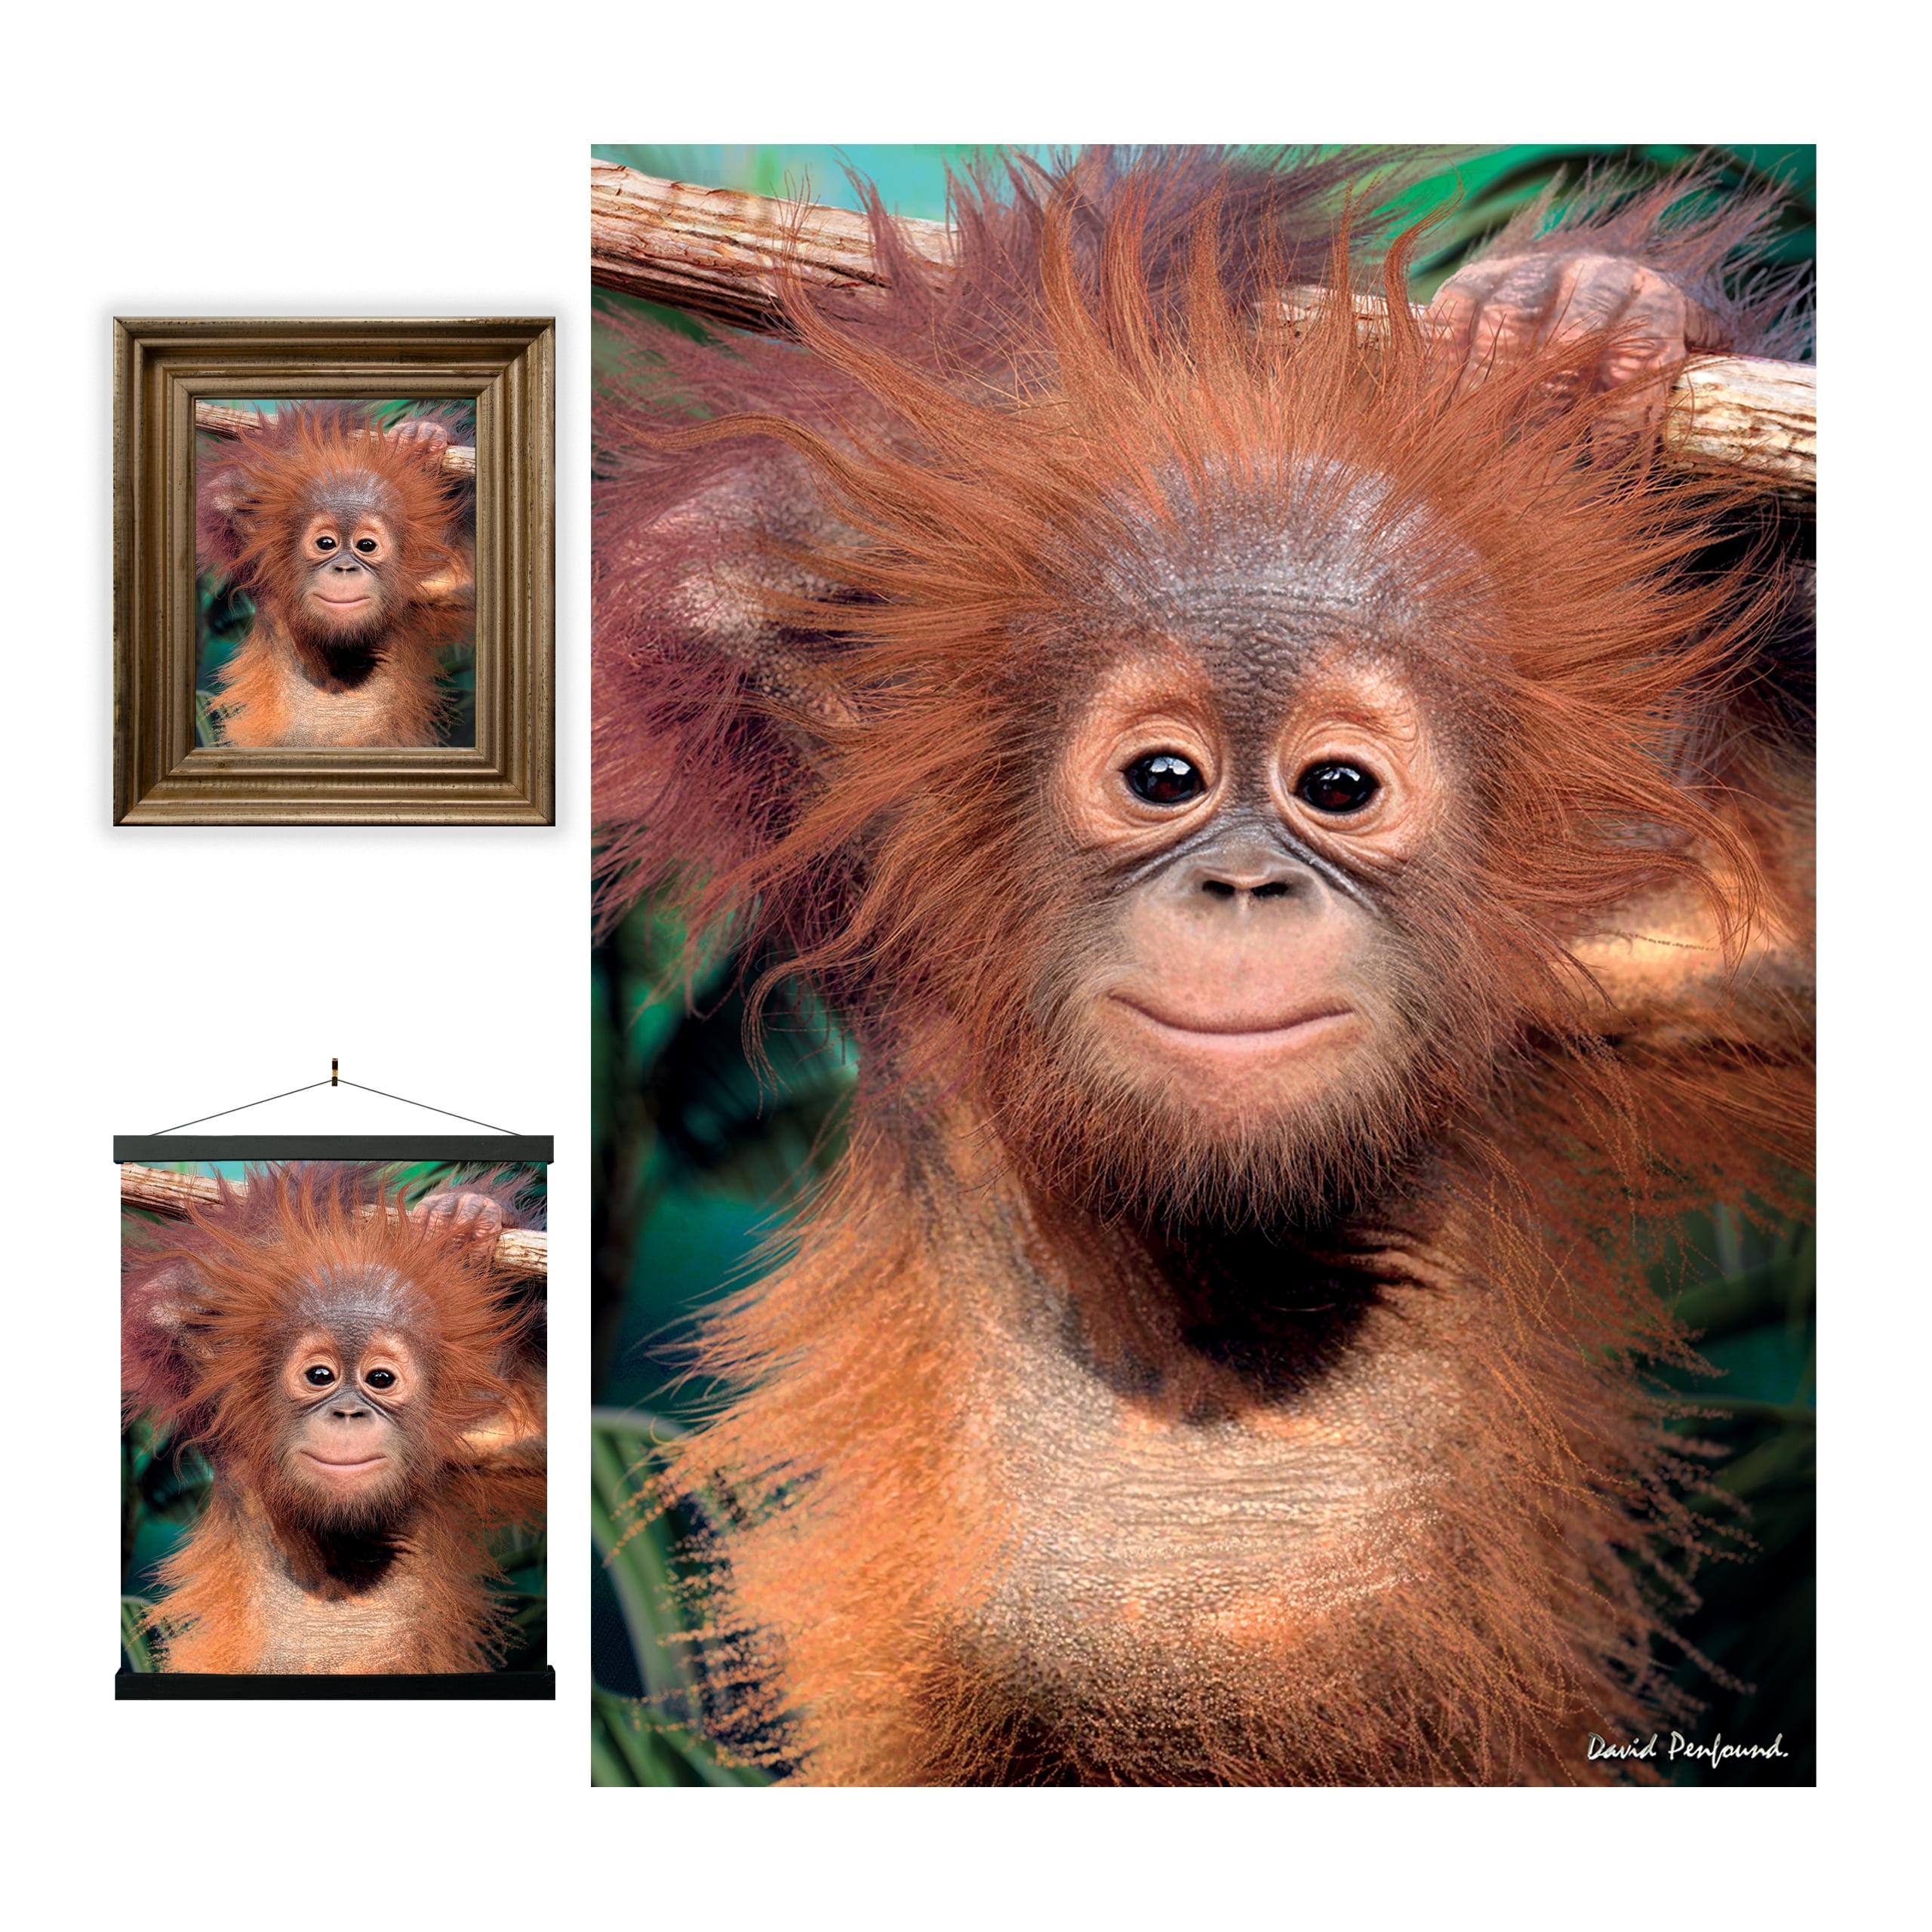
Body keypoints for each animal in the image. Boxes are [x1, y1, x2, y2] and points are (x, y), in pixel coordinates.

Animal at [122, 1164, 545, 1674]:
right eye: (320, 1376)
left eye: (380, 1379)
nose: (347, 1412)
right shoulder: (226, 1413)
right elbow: (160, 1305)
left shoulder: (475, 1447)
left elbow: (536, 1432)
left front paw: (467, 1213)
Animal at [196, 404, 474, 747]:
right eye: (326, 544)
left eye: (366, 546)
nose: (344, 568)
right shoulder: (265, 571)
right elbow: (223, 498)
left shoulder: (429, 590)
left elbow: (464, 578)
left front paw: (424, 435)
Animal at [591, 149, 1813, 1783]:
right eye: (1162, 777)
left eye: (1338, 788)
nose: (1243, 881)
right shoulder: (896, 887)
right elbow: (709, 584)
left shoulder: (1601, 984)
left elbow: (1783, 941)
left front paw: (1596, 319)